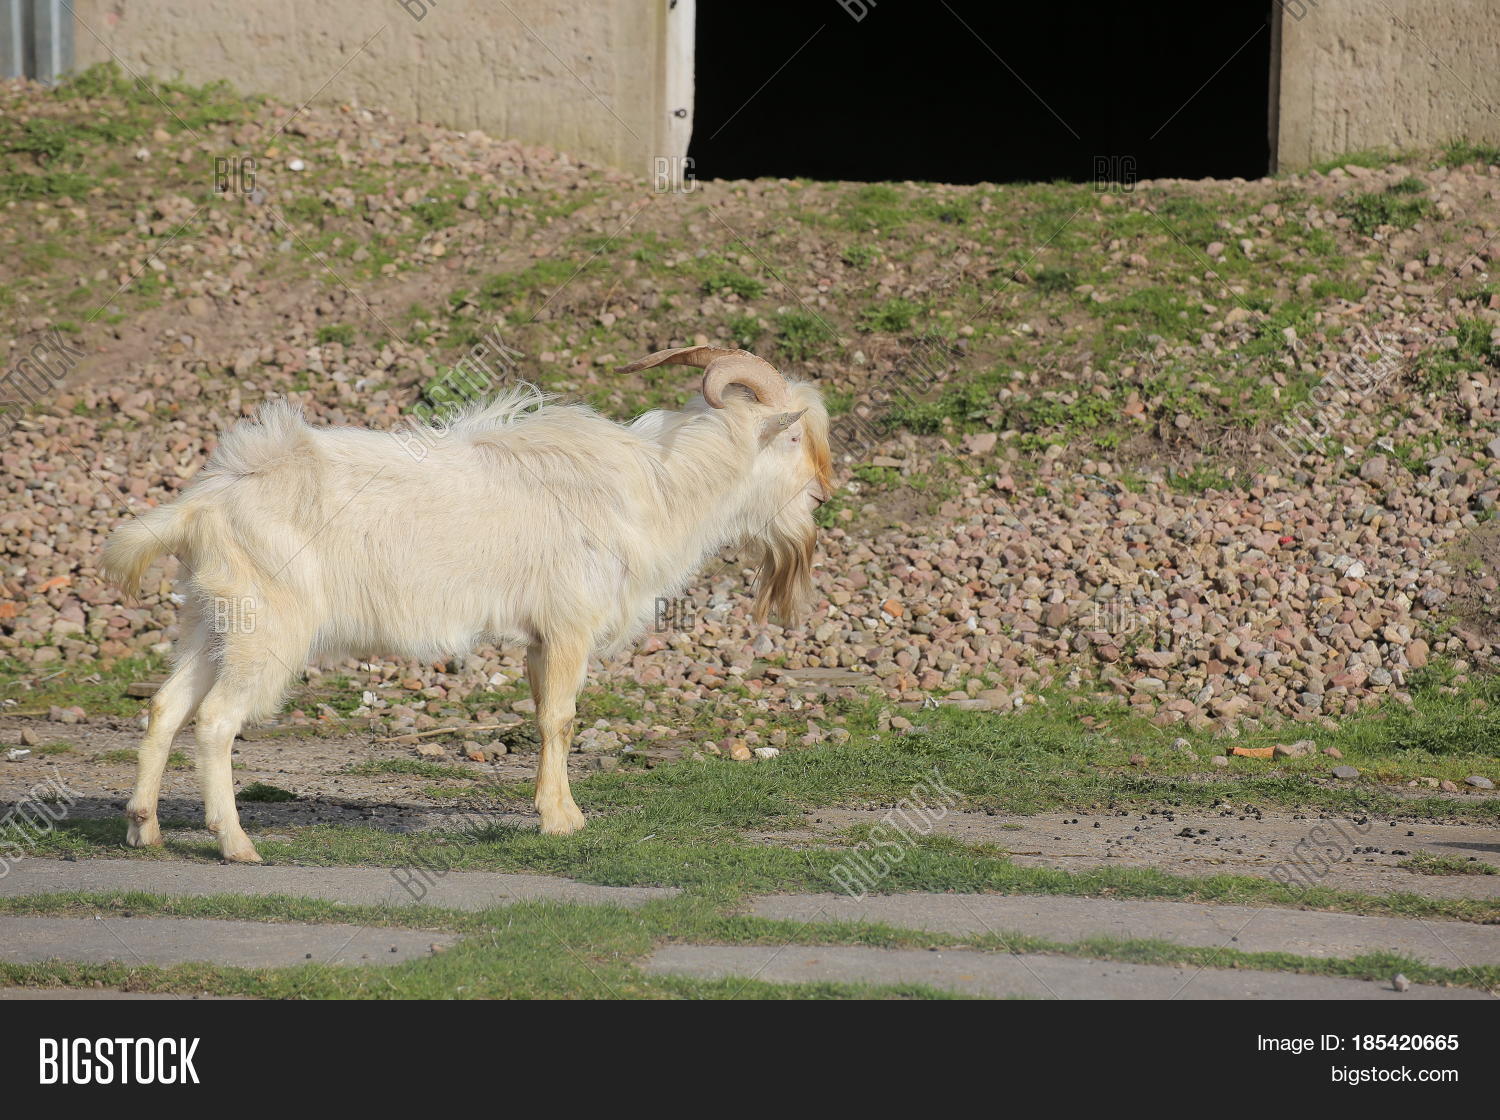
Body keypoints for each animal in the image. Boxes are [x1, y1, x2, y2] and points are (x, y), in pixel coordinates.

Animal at [102, 347, 832, 861]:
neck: (659, 487)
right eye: (795, 440)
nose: (824, 495)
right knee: (216, 720)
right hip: (267, 626)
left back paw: (144, 828)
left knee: (166, 707)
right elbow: (561, 718)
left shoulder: (539, 635)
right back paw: (237, 844)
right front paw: (563, 821)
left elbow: (542, 715)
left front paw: (553, 809)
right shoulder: (569, 623)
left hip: (210, 618)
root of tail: (205, 501)